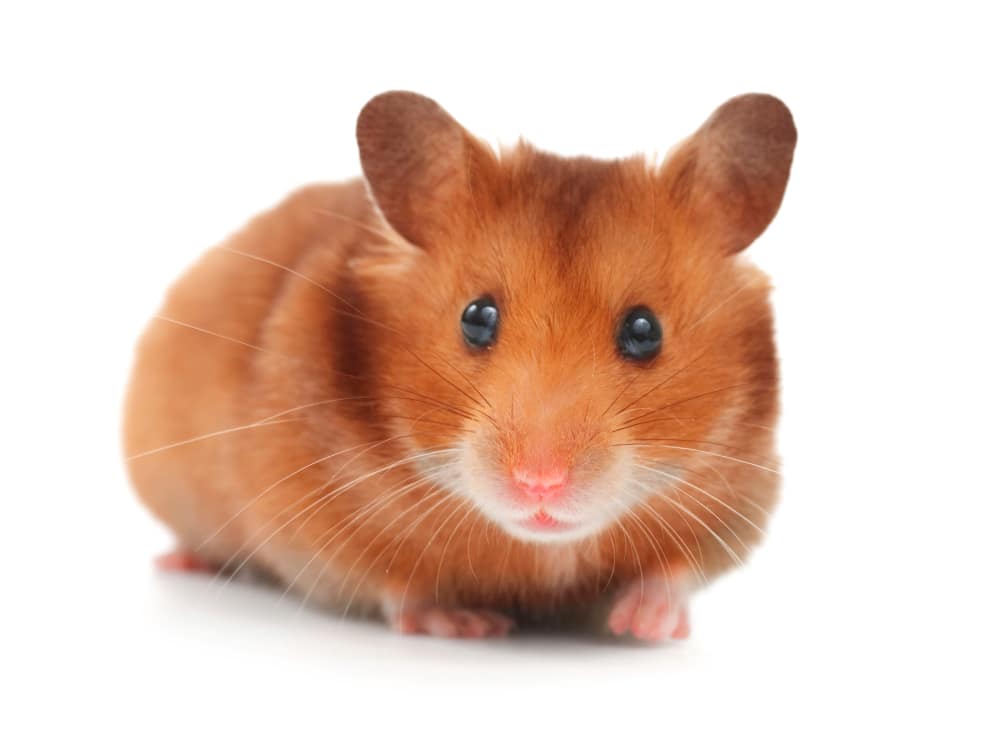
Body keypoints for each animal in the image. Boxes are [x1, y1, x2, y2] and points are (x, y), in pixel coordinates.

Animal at [123, 90, 796, 641]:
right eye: (476, 318)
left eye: (644, 330)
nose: (540, 483)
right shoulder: (311, 521)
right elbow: (397, 584)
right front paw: (469, 622)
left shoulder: (741, 500)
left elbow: (677, 570)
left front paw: (646, 626)